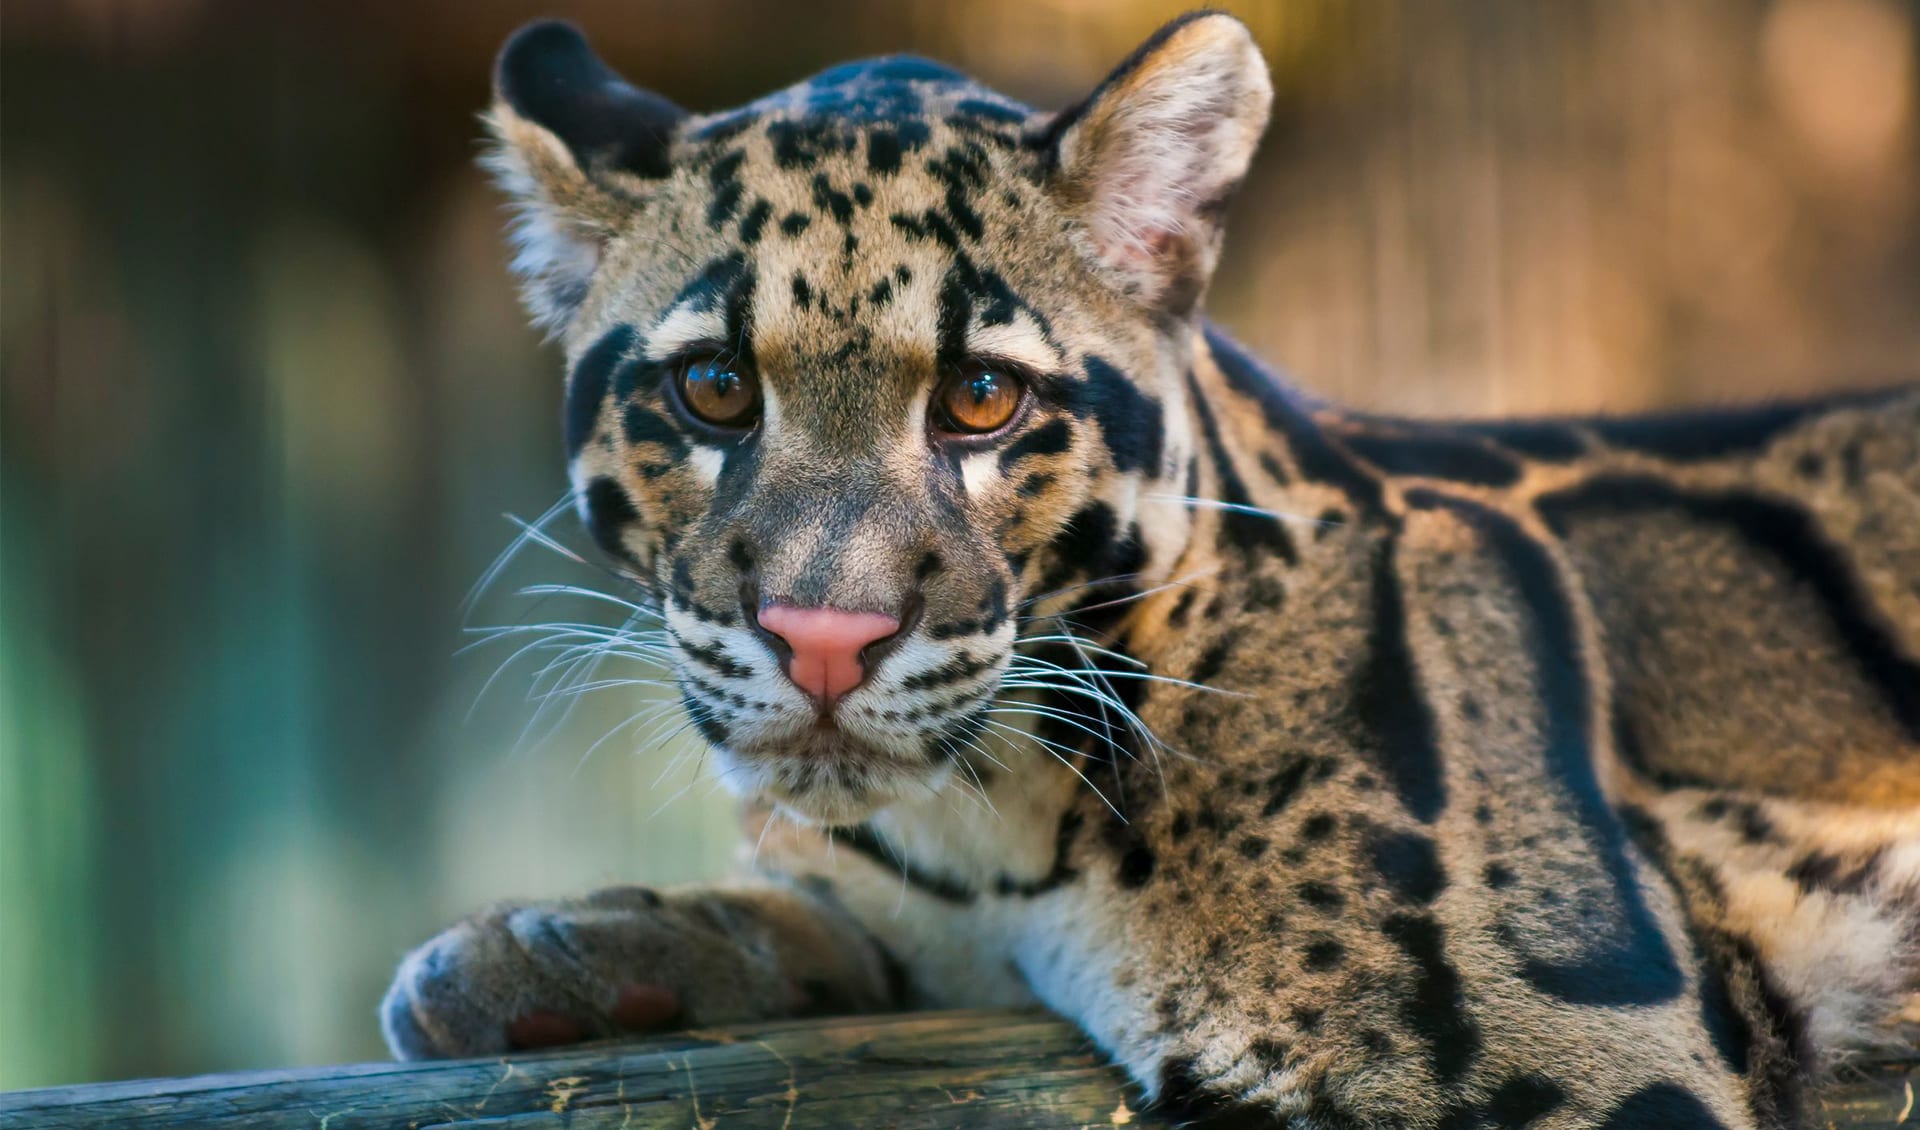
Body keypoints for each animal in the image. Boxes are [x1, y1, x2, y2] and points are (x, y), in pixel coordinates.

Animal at [381, 14, 1920, 1128]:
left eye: (983, 400)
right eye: (711, 388)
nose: (822, 634)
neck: (991, 834)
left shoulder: (1557, 1054)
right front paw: (569, 942)